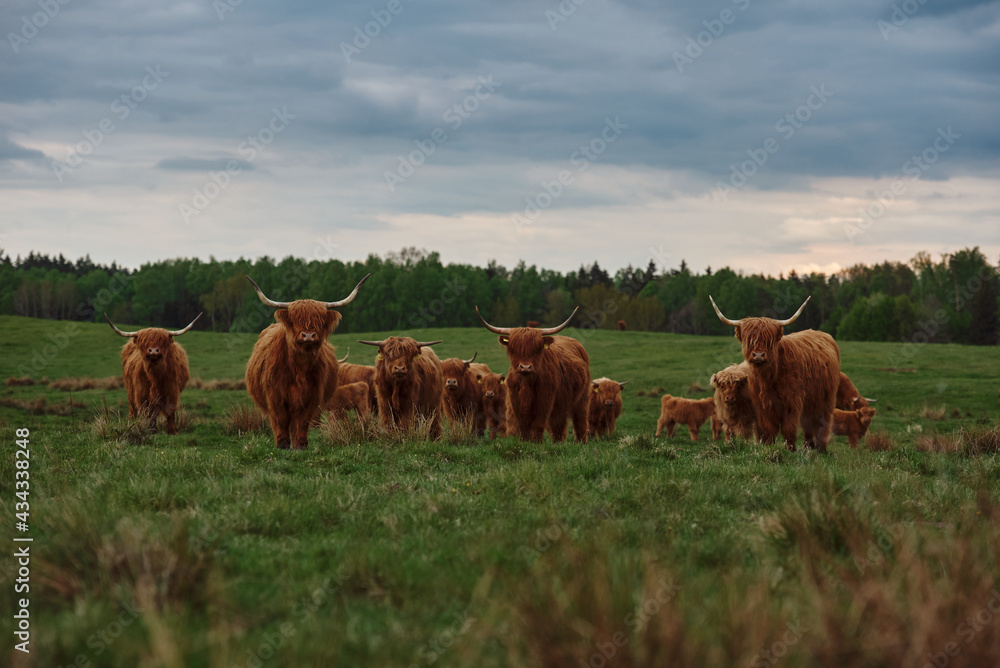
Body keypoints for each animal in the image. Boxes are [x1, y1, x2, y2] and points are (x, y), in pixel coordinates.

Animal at [244, 274, 368, 449]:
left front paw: (301, 445)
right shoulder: (274, 395)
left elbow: (302, 421)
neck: (299, 368)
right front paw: (282, 444)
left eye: (319, 320)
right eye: (295, 319)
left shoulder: (312, 396)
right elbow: (280, 419)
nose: (308, 335)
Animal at [477, 306, 590, 443]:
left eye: (537, 348)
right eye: (514, 348)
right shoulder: (515, 400)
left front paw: (537, 442)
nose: (526, 367)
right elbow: (522, 425)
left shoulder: (545, 399)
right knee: (558, 425)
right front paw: (524, 441)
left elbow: (538, 424)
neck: (527, 383)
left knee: (579, 421)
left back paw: (580, 442)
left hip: (582, 398)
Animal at [710, 295, 841, 452]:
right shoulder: (761, 406)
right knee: (808, 425)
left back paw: (821, 449)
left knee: (823, 423)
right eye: (749, 340)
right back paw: (808, 447)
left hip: (826, 398)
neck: (769, 378)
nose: (758, 355)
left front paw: (791, 450)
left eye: (769, 340)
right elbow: (768, 430)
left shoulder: (792, 401)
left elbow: (788, 428)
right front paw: (769, 448)